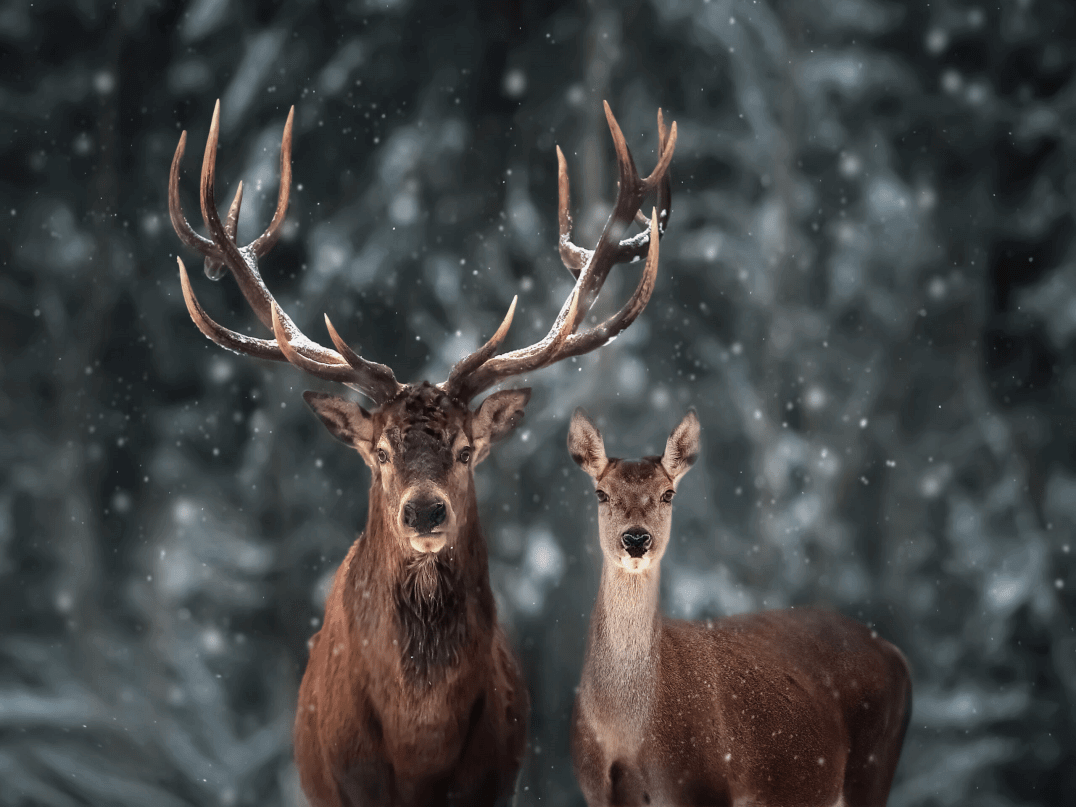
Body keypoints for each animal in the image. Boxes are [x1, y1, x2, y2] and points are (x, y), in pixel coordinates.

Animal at [567, 408, 912, 807]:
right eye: (601, 493)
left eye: (668, 493)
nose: (636, 538)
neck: (625, 732)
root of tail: (896, 654)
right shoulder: (596, 791)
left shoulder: (704, 784)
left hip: (873, 767)